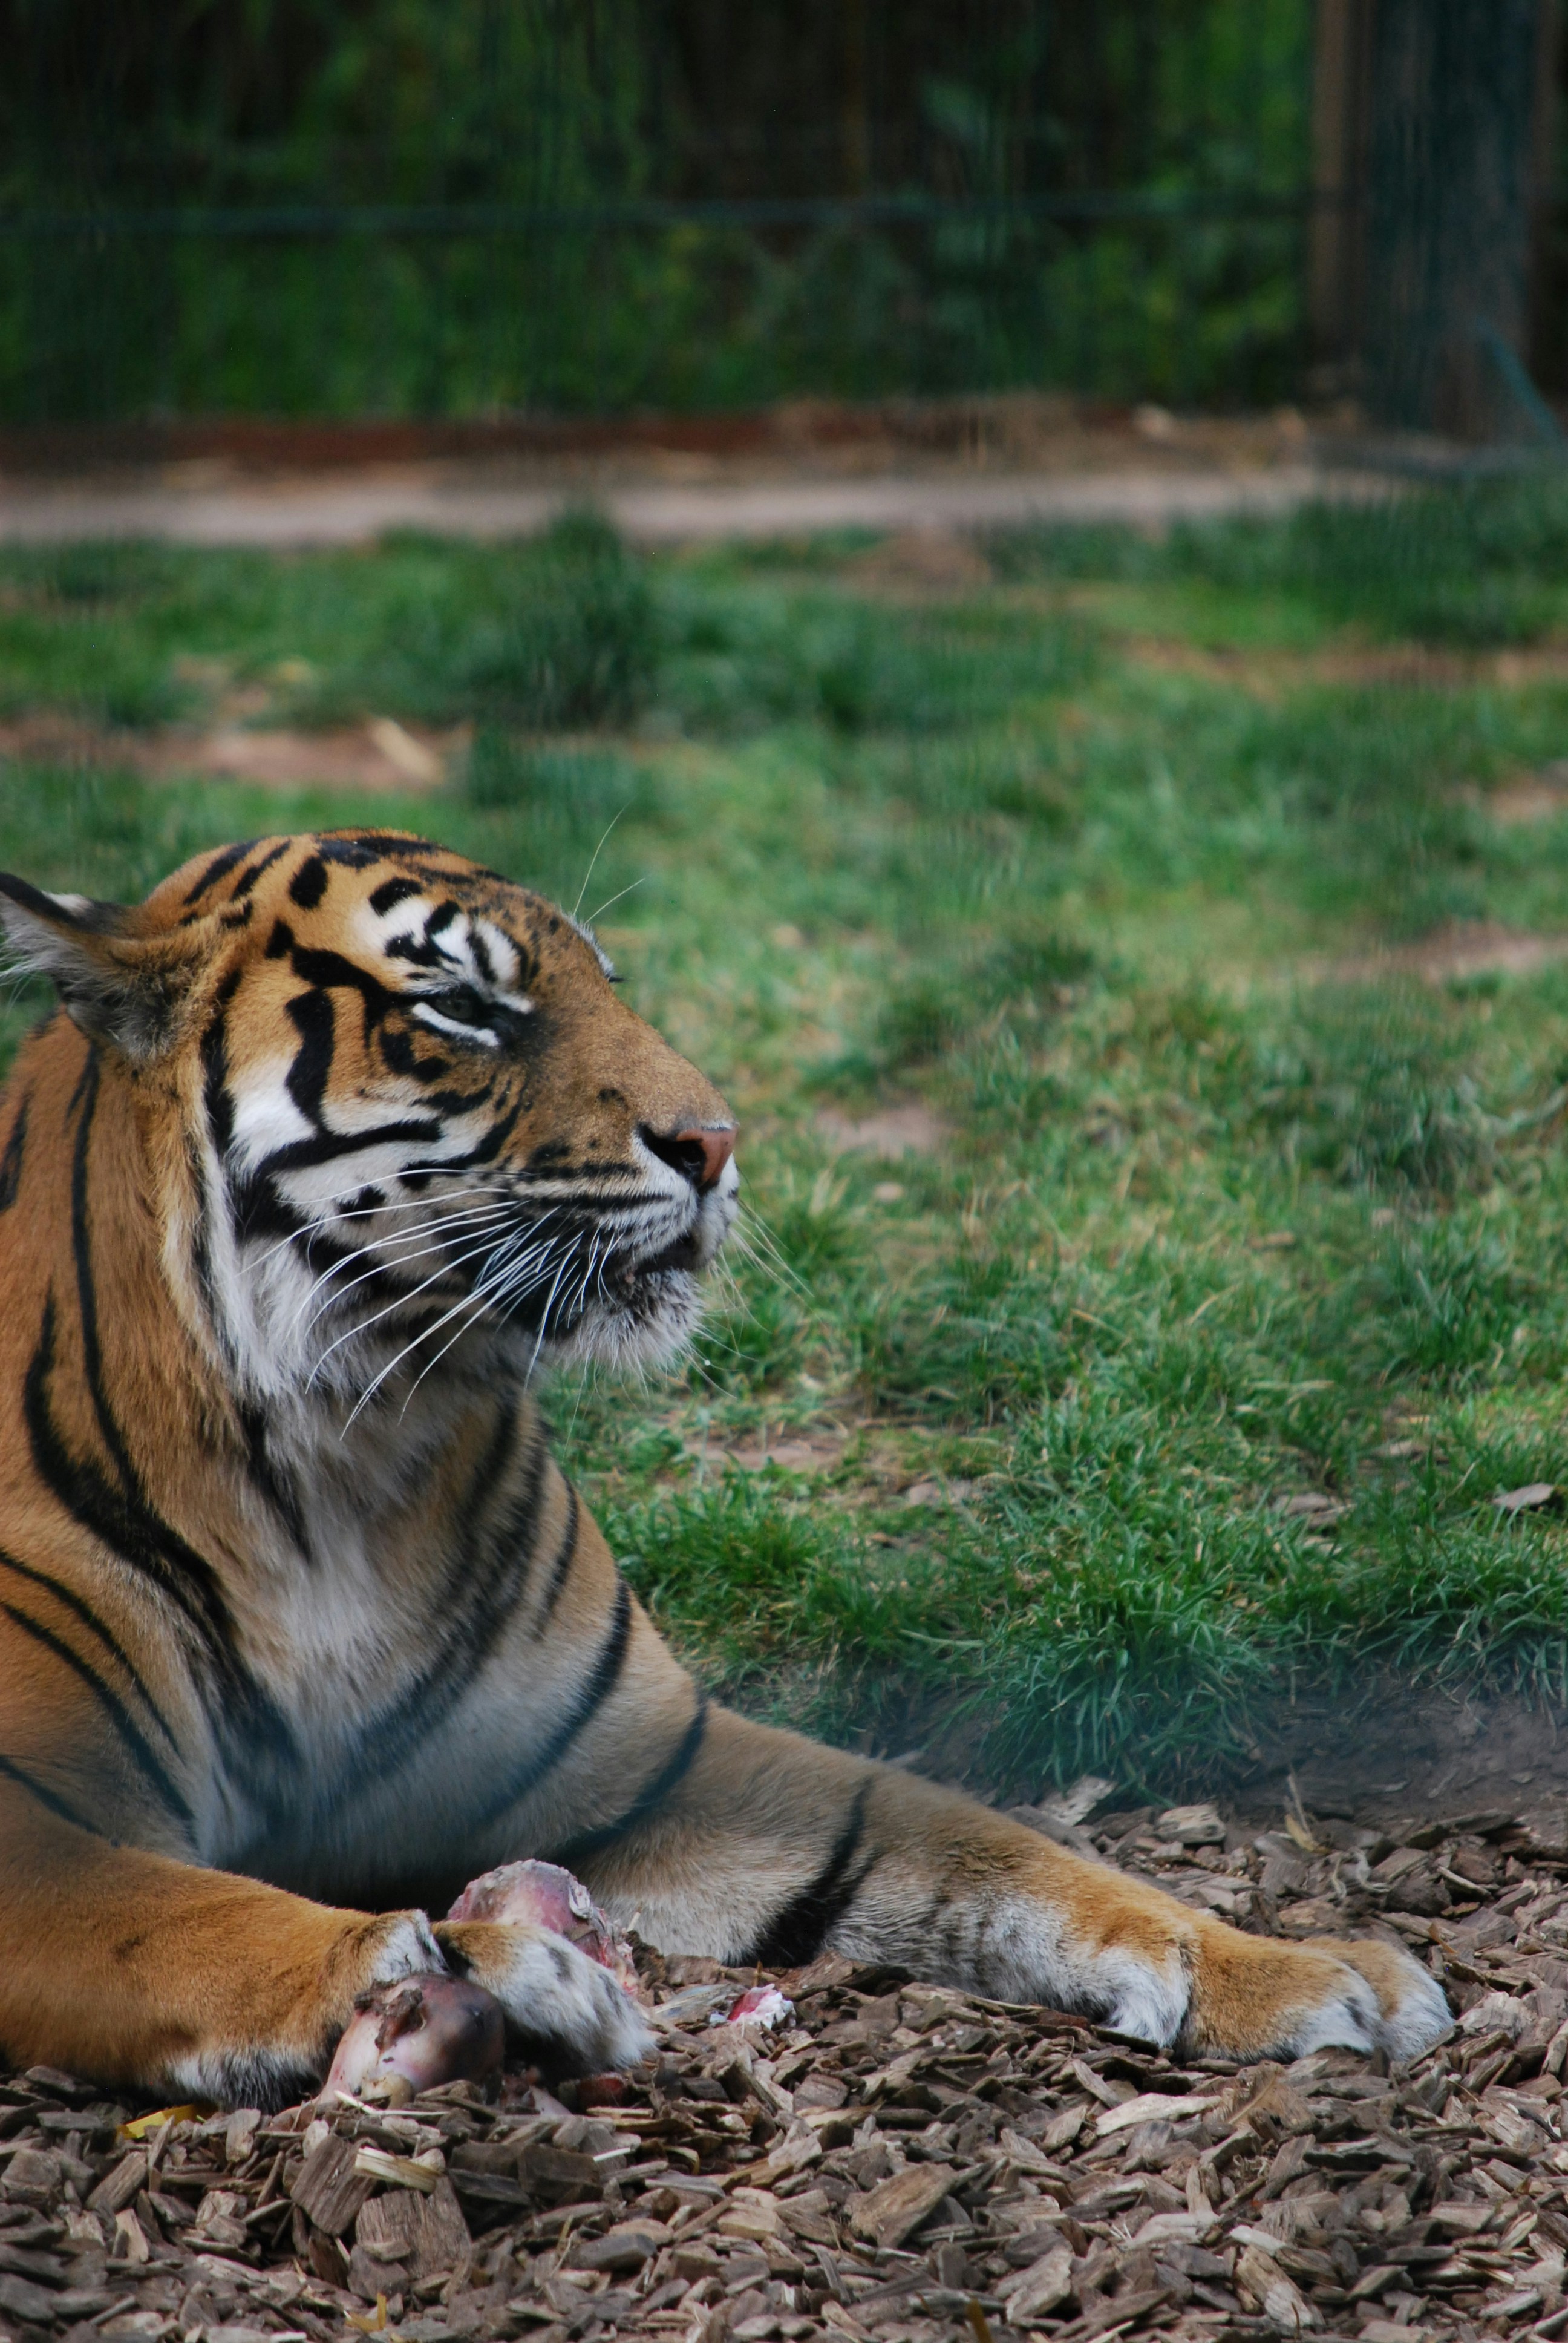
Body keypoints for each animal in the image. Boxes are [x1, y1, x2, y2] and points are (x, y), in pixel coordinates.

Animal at [0, 828, 1447, 2105]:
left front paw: (1297, 1968)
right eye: (463, 1006)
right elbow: (213, 1919)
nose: (717, 1140)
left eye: (606, 985)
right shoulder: (34, 1828)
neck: (348, 1444)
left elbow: (988, 1847)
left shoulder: (652, 1763)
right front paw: (504, 1967)